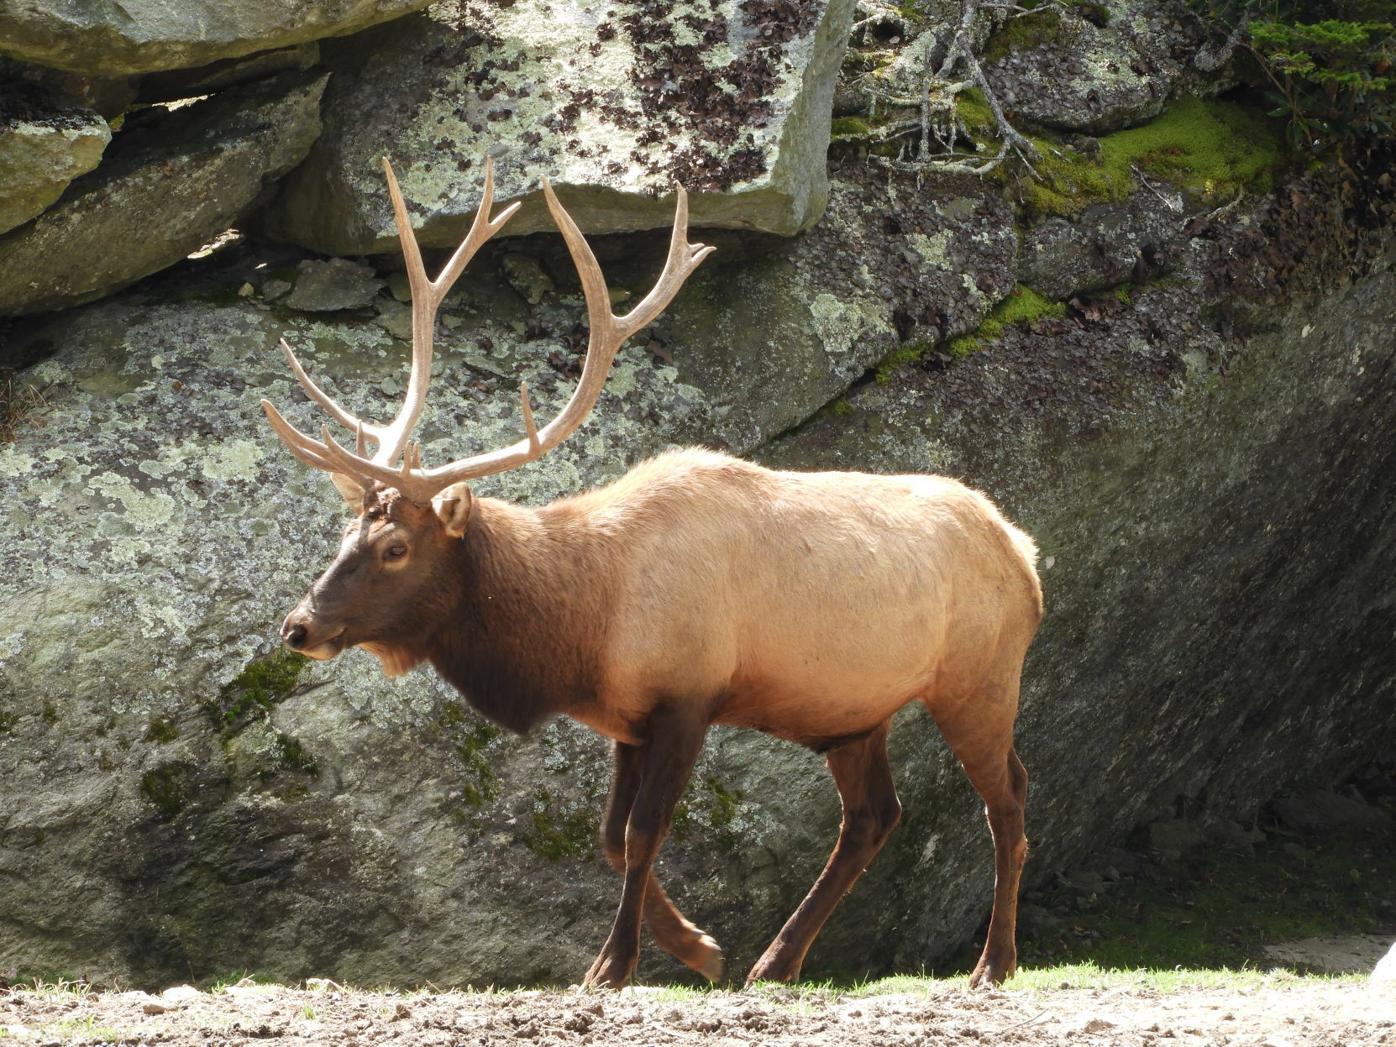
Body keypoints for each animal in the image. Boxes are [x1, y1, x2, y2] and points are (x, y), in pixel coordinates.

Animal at [262, 155, 1043, 991]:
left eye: (396, 547)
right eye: (346, 530)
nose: (299, 625)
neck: (585, 624)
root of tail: (1026, 556)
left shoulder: (687, 695)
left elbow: (642, 831)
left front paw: (617, 962)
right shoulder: (628, 718)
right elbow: (608, 835)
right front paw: (700, 944)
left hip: (977, 678)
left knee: (1008, 798)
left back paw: (993, 961)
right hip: (855, 709)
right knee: (874, 815)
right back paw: (777, 959)